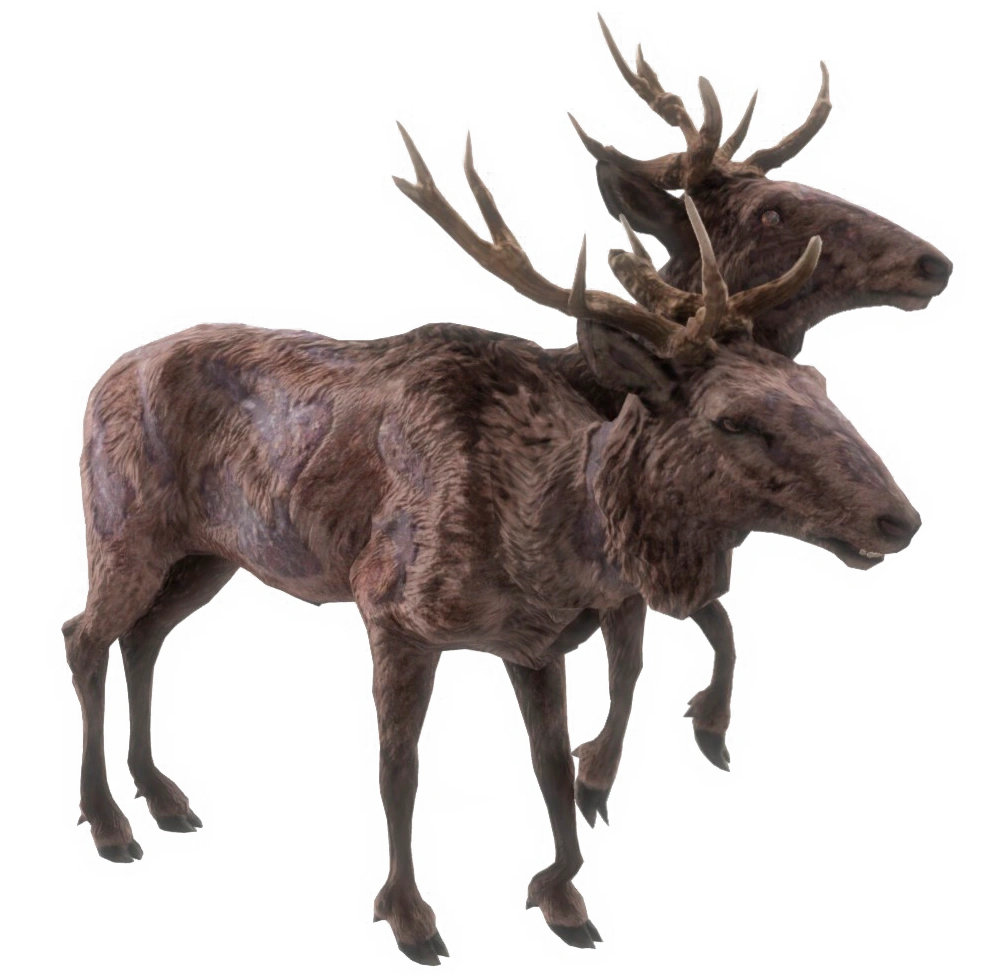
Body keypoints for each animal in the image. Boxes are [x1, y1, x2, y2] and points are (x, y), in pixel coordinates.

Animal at [62, 97, 922, 959]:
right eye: (734, 419)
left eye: (814, 386)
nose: (900, 515)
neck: (553, 520)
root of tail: (99, 383)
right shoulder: (395, 610)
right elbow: (399, 764)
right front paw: (411, 916)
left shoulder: (544, 634)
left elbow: (558, 751)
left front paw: (566, 888)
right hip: (123, 531)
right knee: (84, 635)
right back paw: (109, 823)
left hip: (206, 554)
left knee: (144, 637)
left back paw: (163, 797)